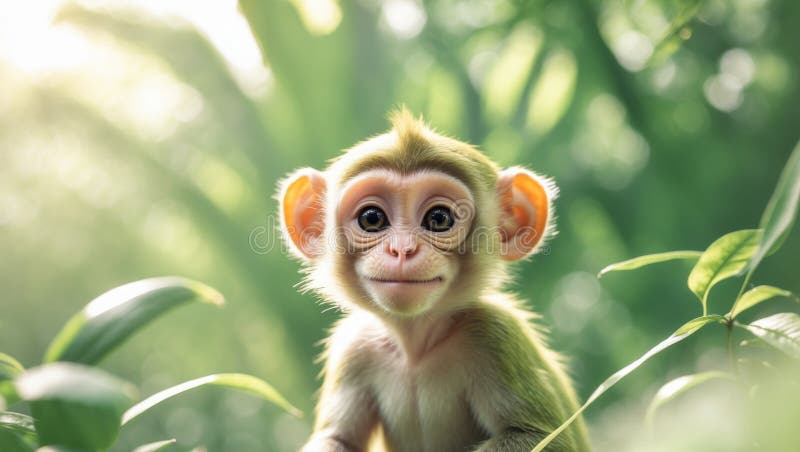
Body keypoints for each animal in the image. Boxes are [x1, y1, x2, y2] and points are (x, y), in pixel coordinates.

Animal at [278, 109, 590, 452]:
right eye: (372, 218)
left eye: (439, 218)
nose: (402, 249)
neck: (416, 347)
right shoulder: (354, 348)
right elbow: (337, 439)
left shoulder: (496, 336)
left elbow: (539, 437)